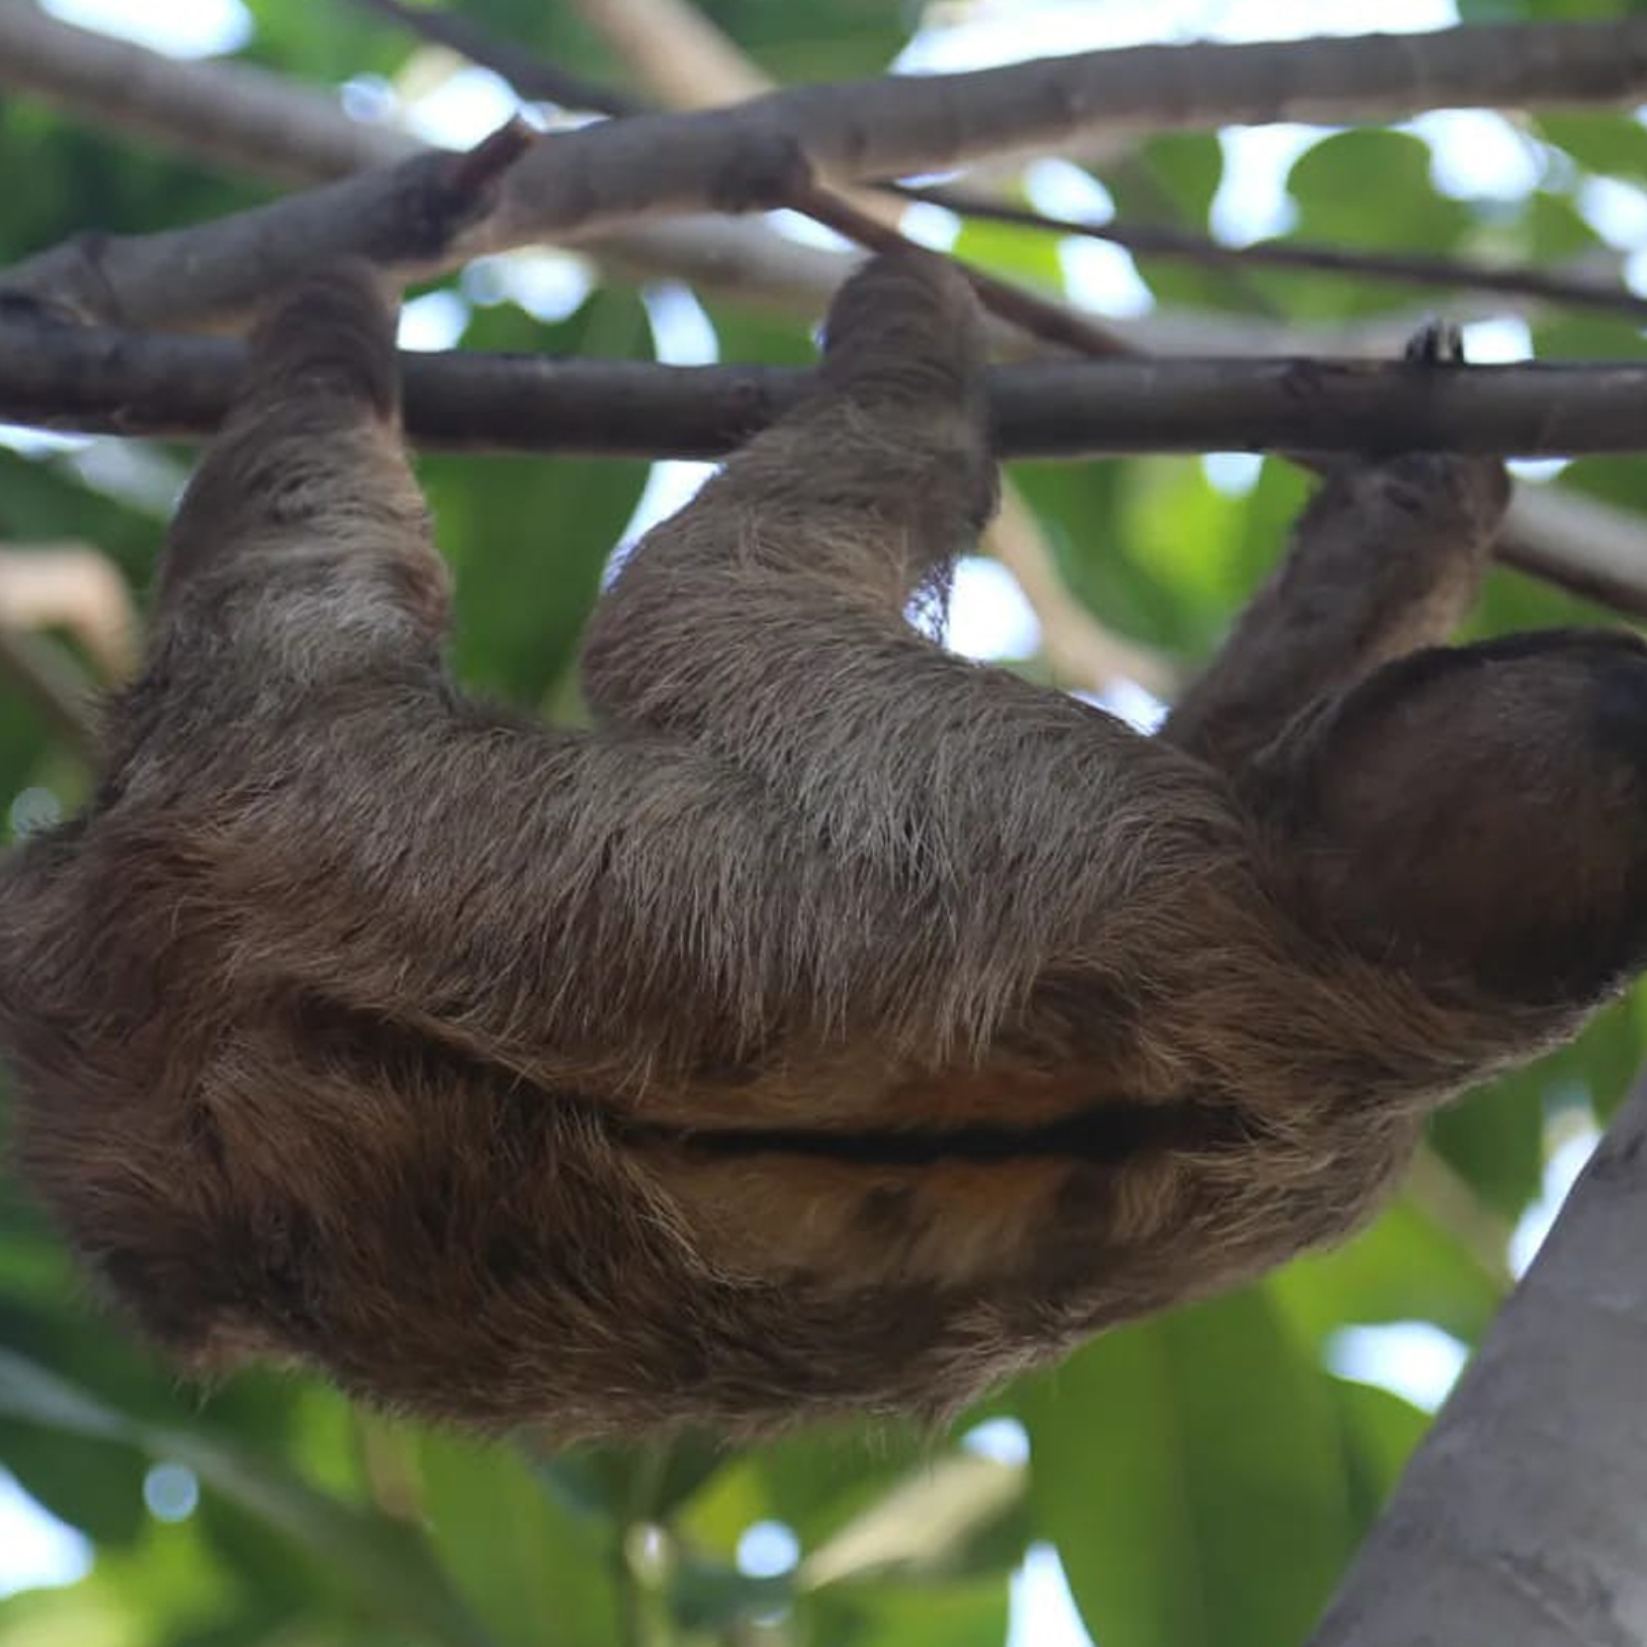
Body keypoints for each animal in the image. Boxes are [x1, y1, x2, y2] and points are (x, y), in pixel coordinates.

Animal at [2, 250, 1646, 1439]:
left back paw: (332, 319)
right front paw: (1420, 486)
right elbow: (1219, 731)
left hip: (264, 736)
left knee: (307, 512)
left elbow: (703, 598)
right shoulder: (1334, 1148)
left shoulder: (1026, 799)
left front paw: (912, 304)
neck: (1337, 959)